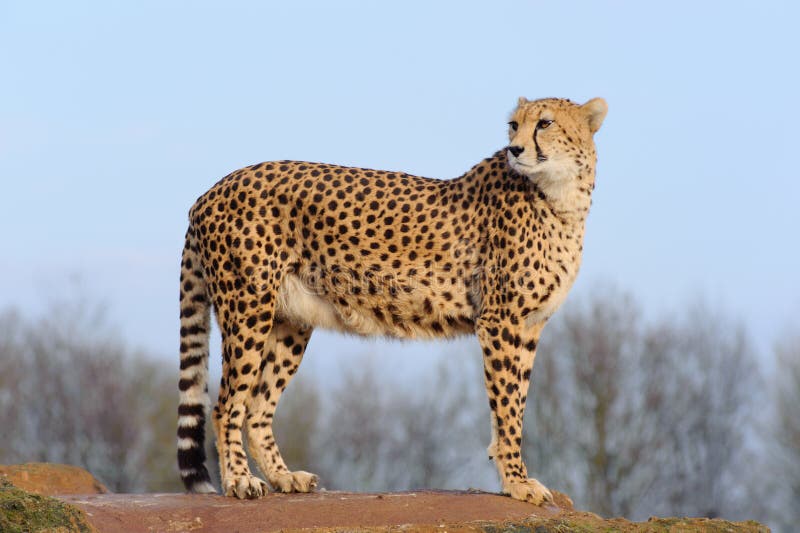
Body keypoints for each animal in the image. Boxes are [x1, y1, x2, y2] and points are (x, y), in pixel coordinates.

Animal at [176, 96, 607, 505]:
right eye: (514, 125)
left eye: (545, 123)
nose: (514, 150)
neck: (561, 196)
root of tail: (209, 191)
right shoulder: (501, 322)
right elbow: (506, 407)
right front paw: (517, 482)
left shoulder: (529, 325)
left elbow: (516, 403)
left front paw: (513, 476)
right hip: (248, 310)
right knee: (227, 405)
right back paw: (239, 480)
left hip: (289, 322)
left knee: (257, 407)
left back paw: (283, 477)